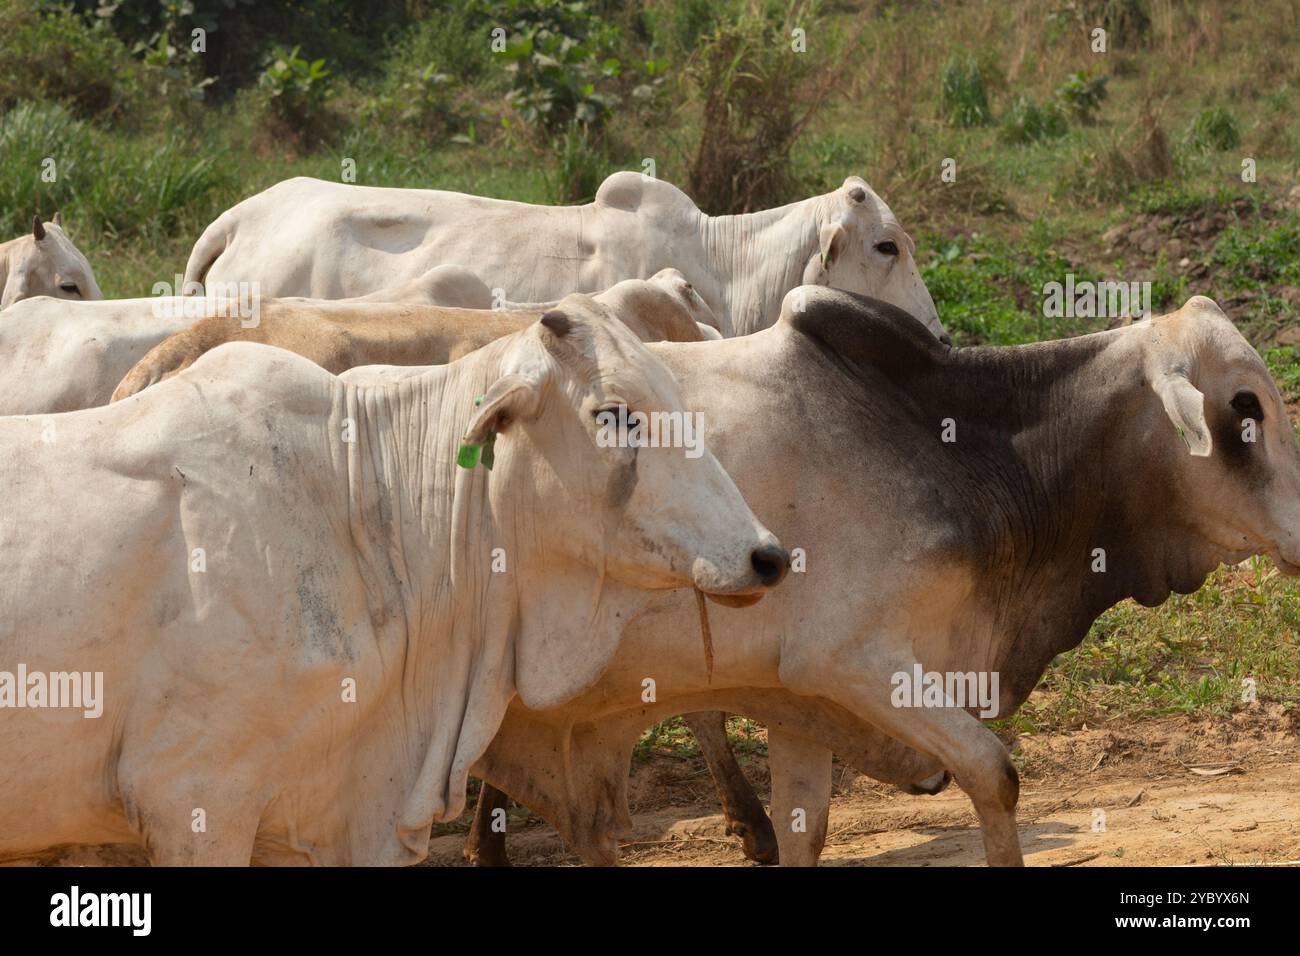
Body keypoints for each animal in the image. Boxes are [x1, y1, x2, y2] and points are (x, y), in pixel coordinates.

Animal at [448, 291, 1300, 866]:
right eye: (1245, 407)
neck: (957, 446)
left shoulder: (795, 696)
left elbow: (808, 828)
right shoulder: (856, 662)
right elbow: (995, 774)